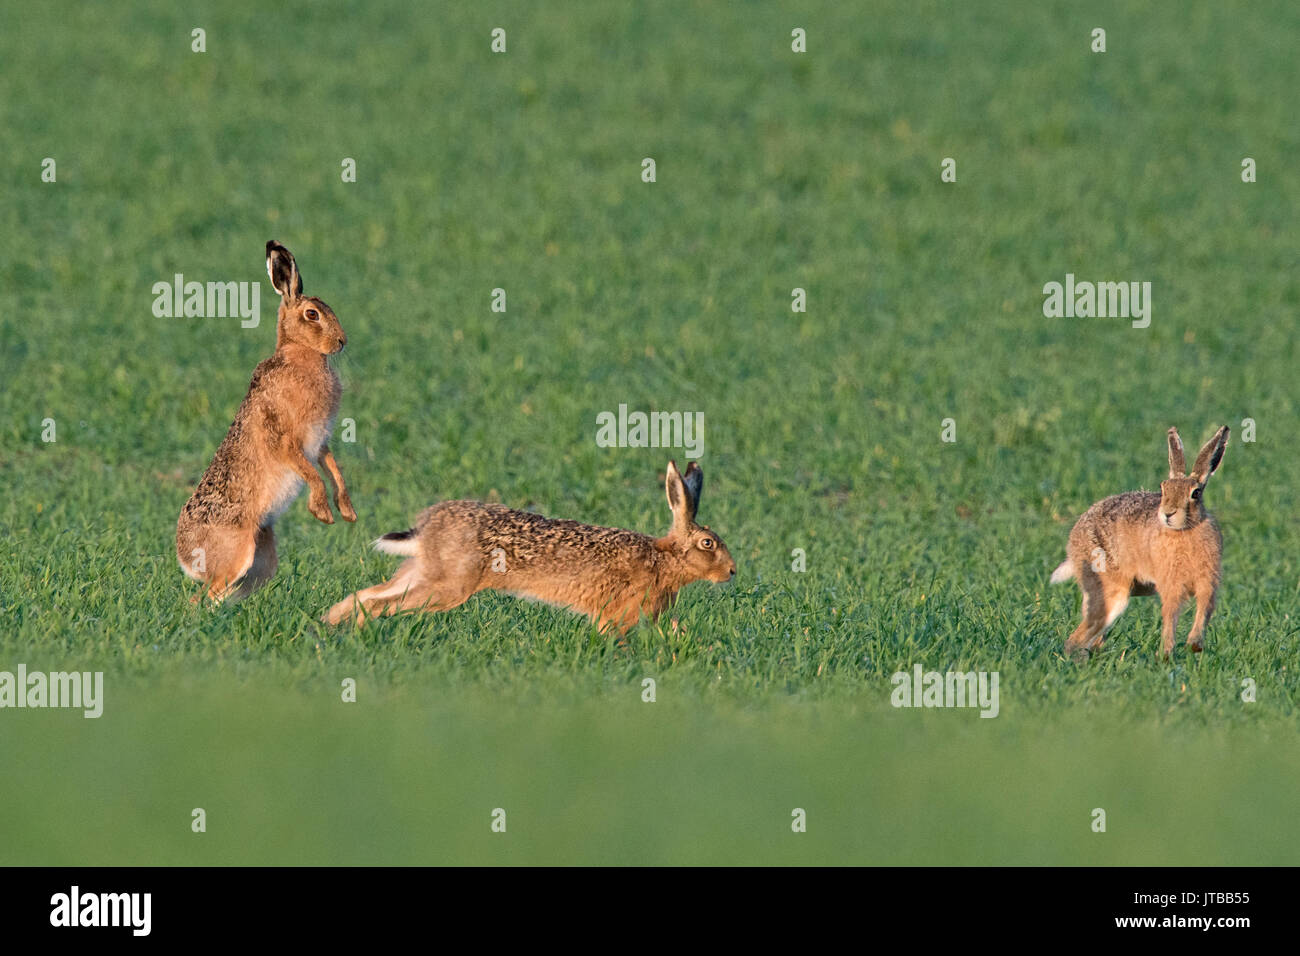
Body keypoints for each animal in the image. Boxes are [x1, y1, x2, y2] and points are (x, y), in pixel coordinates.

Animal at [176, 241, 356, 603]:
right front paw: (322, 512)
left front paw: (346, 511)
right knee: (202, 599)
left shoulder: (320, 442)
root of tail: (186, 557)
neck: (301, 355)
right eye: (312, 314)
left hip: (260, 561)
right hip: (237, 553)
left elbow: (332, 468)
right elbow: (311, 474)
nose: (342, 342)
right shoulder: (286, 439)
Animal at [323, 460, 736, 631]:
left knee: (366, 595)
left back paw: (329, 624)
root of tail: (427, 526)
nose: (732, 572)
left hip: (423, 574)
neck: (665, 560)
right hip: (447, 587)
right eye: (708, 543)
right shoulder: (617, 614)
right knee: (381, 604)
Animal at [1050, 425, 1229, 658]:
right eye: (1163, 488)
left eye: (1195, 493)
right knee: (1077, 638)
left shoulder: (1207, 583)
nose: (1168, 513)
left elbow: (1204, 610)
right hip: (1111, 592)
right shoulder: (1171, 585)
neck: (1185, 530)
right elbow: (1170, 615)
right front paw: (1166, 654)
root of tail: (1073, 541)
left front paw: (1194, 644)